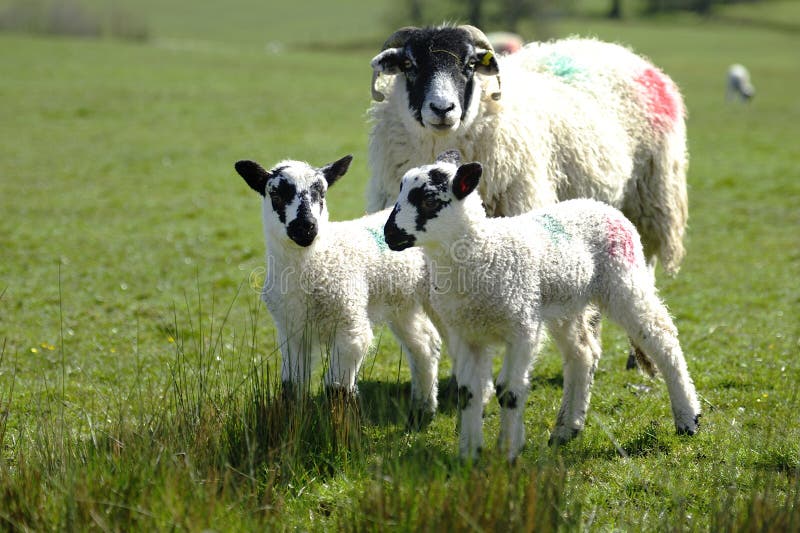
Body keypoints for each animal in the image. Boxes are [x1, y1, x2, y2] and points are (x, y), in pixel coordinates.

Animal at [234, 155, 442, 424]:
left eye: (321, 193)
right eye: (275, 194)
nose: (305, 227)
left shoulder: (350, 327)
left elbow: (337, 390)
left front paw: (342, 428)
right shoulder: (292, 331)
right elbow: (292, 387)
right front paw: (292, 425)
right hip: (401, 302)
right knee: (424, 344)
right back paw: (423, 408)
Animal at [382, 152, 701, 460]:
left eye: (429, 200)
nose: (389, 235)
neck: (483, 252)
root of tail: (603, 207)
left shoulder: (522, 327)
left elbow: (508, 391)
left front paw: (507, 452)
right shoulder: (467, 334)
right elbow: (469, 392)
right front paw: (469, 454)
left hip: (624, 282)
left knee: (662, 338)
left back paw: (688, 419)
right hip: (565, 304)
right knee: (582, 353)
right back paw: (566, 429)